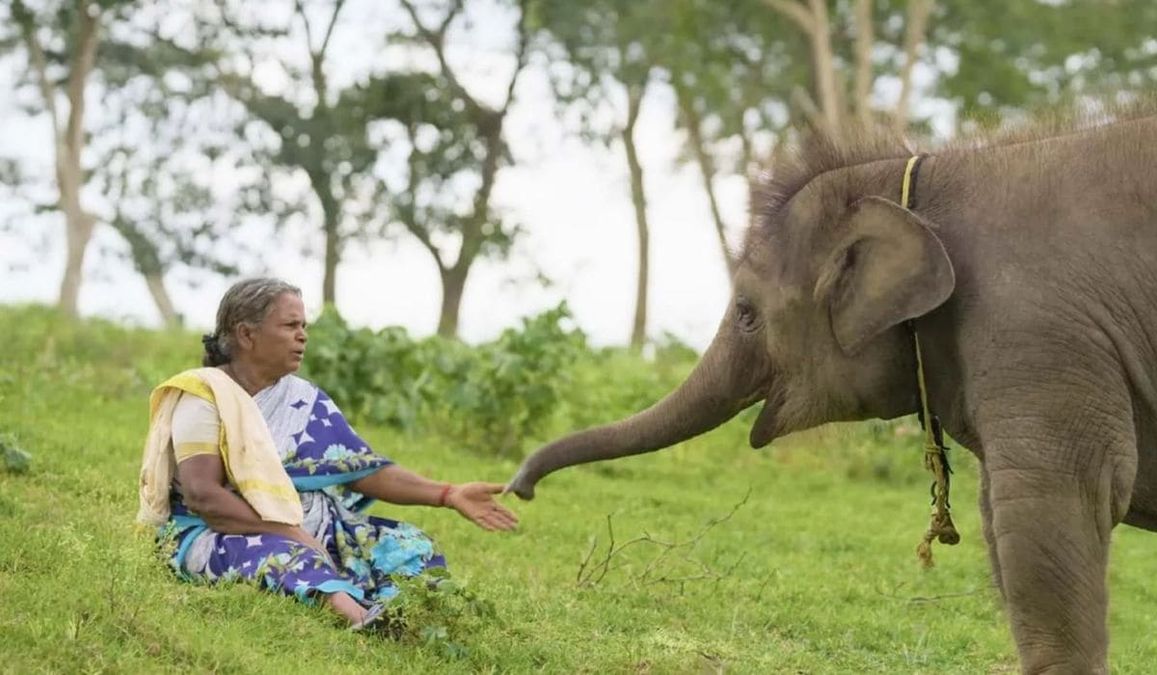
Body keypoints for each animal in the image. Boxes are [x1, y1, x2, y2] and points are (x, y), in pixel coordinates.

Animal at [507, 111, 1157, 673]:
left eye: (746, 313)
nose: (518, 492)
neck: (917, 176)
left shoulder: (1038, 332)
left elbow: (1050, 501)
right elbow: (999, 511)